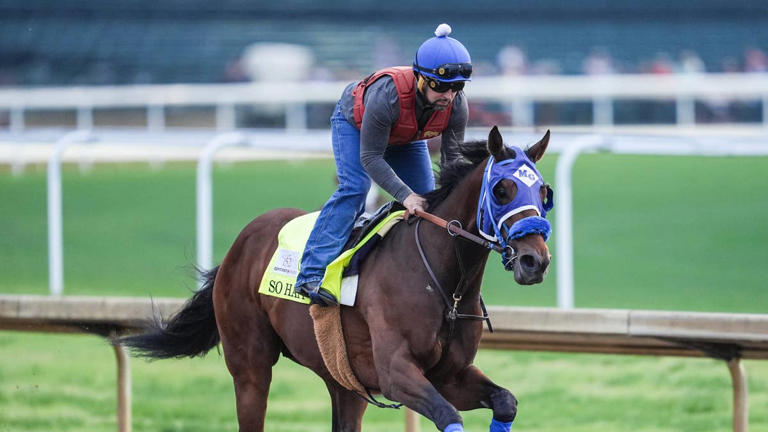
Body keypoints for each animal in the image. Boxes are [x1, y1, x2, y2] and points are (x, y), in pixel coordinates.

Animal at [121, 126, 553, 432]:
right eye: (501, 189)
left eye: (544, 191)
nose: (535, 261)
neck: (444, 282)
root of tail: (240, 242)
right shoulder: (396, 373)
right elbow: (449, 417)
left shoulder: (450, 374)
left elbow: (506, 401)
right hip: (249, 365)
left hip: (343, 379)